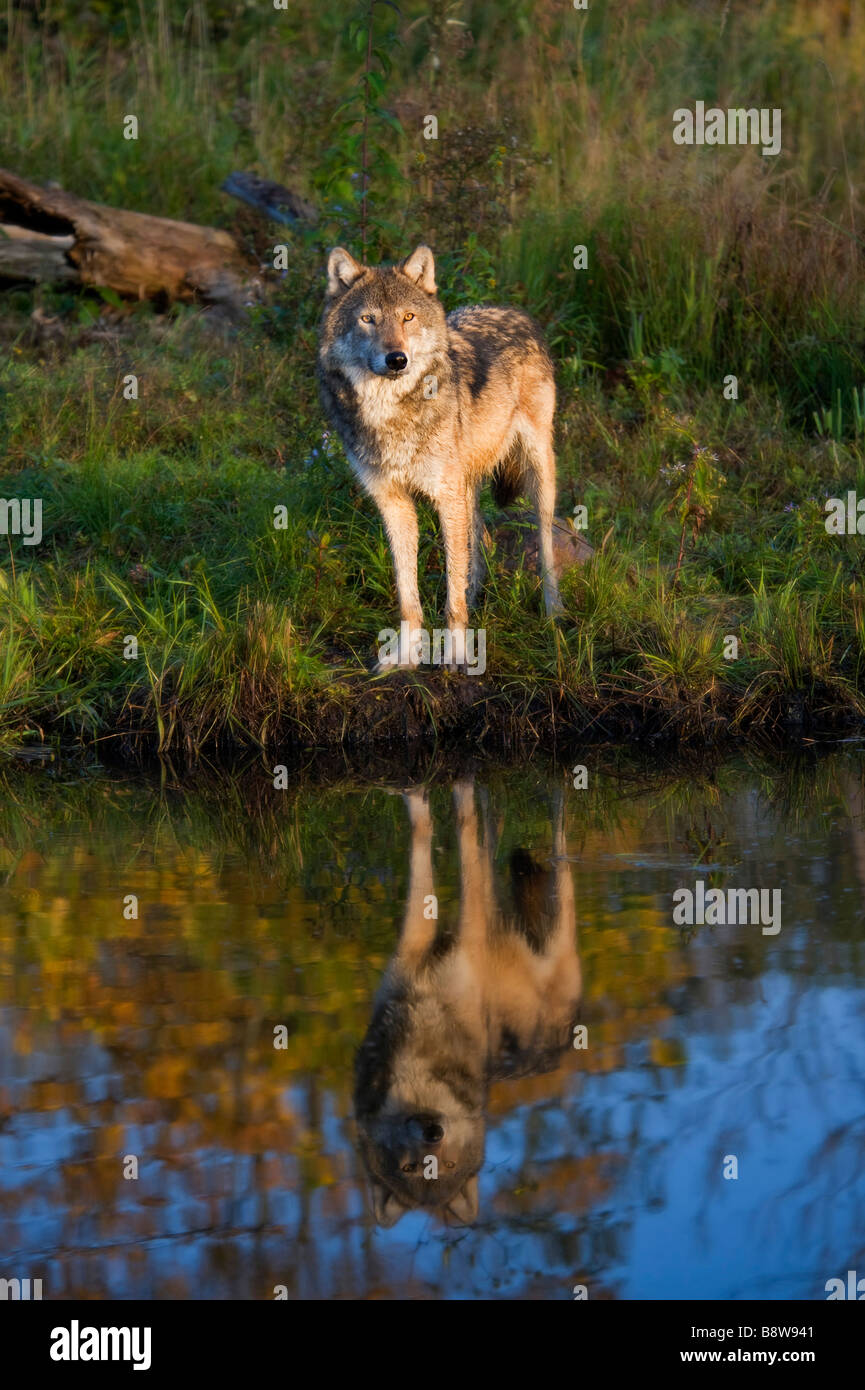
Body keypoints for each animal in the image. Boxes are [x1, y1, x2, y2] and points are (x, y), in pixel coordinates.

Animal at [317, 244, 562, 667]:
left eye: (408, 317)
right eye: (367, 319)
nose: (397, 359)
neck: (390, 415)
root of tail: (513, 311)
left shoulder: (445, 498)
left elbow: (450, 597)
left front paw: (458, 655)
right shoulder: (393, 502)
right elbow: (407, 593)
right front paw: (404, 656)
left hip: (536, 474)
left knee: (544, 541)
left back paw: (552, 611)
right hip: (466, 486)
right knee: (477, 538)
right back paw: (476, 596)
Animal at [353, 780, 581, 1228]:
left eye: (450, 1165)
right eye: (410, 1167)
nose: (433, 1130)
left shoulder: (467, 933)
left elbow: (461, 829)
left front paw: (460, 788)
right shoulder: (412, 947)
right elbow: (423, 834)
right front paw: (417, 797)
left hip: (558, 907)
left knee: (555, 842)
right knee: (492, 845)